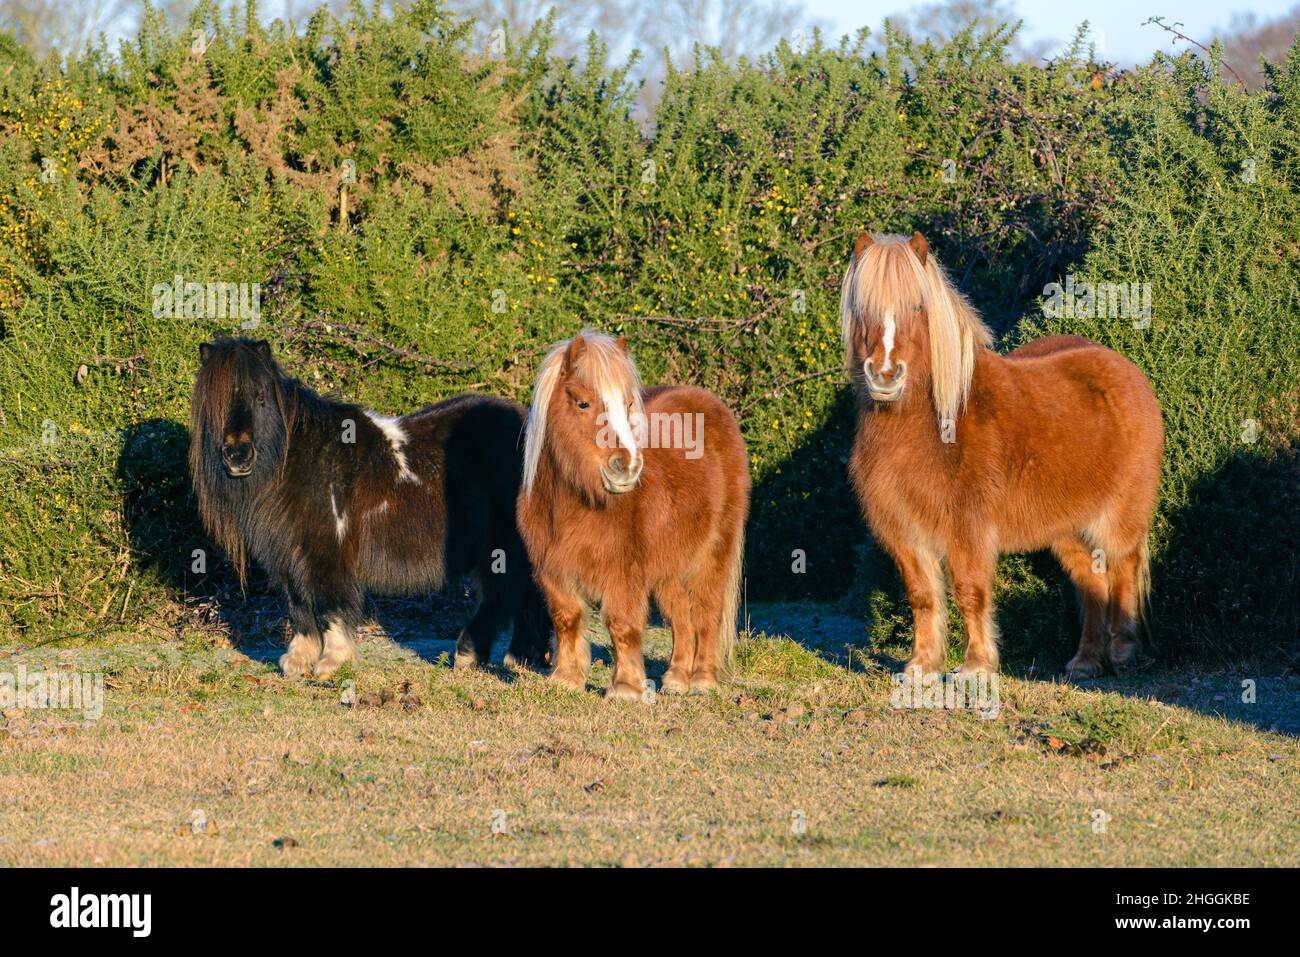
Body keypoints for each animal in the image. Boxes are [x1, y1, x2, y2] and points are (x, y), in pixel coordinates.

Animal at [189, 337, 550, 678]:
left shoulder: (326, 556)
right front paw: (297, 662)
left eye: (261, 397)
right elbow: (300, 608)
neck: (300, 460)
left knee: (507, 598)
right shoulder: (290, 558)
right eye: (214, 402)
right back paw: (517, 657)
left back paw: (480, 655)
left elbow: (331, 607)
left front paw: (332, 663)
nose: (238, 455)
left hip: (504, 548)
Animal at [516, 330, 751, 700]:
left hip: (713, 554)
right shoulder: (552, 569)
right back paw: (676, 680)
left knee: (706, 613)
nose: (627, 467)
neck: (576, 504)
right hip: (670, 566)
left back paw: (702, 680)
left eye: (628, 404)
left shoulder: (624, 572)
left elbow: (622, 625)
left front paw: (625, 688)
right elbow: (566, 618)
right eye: (583, 403)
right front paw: (566, 680)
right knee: (681, 618)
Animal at [841, 232, 1164, 678]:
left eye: (918, 307)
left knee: (1123, 568)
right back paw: (1084, 662)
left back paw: (1122, 652)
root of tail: (1127, 371)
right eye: (863, 308)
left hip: (1118, 516)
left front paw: (977, 665)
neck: (932, 425)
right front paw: (922, 664)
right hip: (1065, 527)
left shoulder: (967, 530)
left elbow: (969, 592)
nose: (885, 375)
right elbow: (922, 596)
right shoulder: (904, 532)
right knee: (1093, 581)